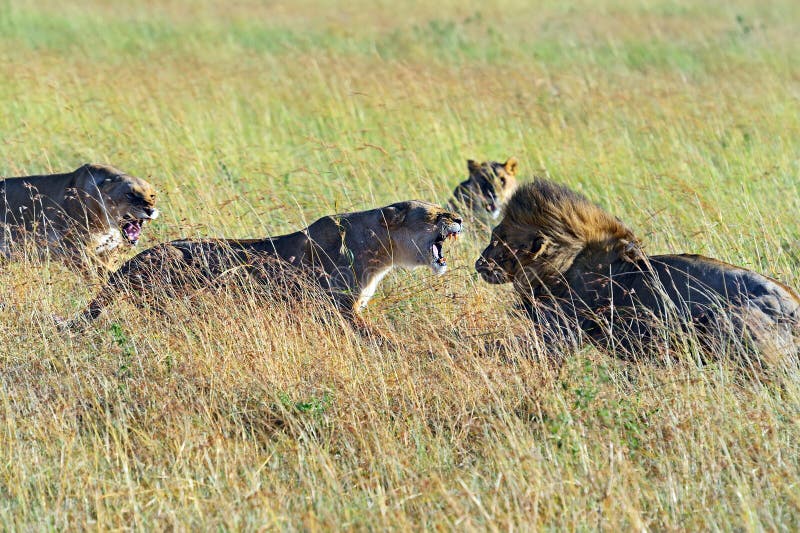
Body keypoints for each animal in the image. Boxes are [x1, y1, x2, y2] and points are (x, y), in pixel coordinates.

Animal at [1, 163, 159, 271]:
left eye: (152, 196)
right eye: (129, 194)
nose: (150, 210)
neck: (106, 225)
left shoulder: (108, 252)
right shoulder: (72, 250)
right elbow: (102, 272)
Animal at [66, 200, 463, 341]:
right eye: (434, 214)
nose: (459, 218)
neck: (381, 250)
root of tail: (125, 266)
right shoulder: (339, 309)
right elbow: (378, 337)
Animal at [475, 180, 800, 369]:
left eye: (497, 240)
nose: (479, 263)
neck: (565, 259)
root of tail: (792, 307)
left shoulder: (556, 333)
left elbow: (501, 348)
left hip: (727, 322)